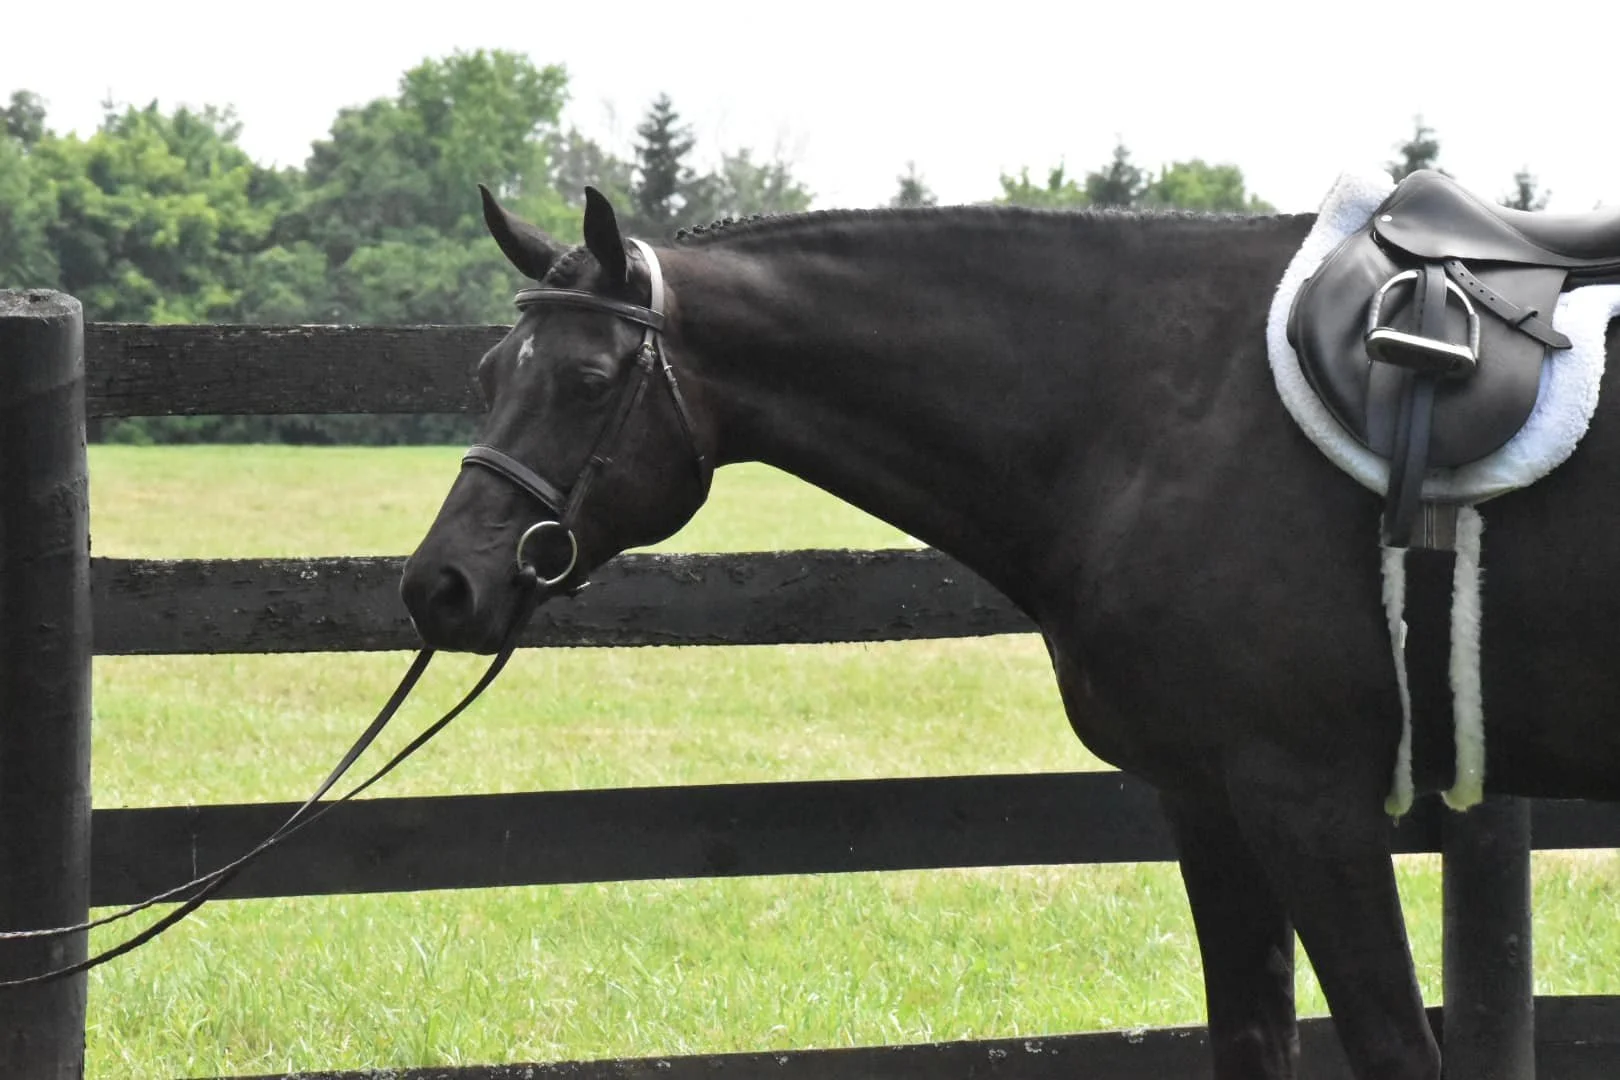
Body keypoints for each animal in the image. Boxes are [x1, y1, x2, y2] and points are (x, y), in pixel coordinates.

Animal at [399, 183, 1620, 1080]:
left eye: (587, 378)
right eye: (488, 374)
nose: (439, 586)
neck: (1165, 406)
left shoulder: (1309, 800)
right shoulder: (1211, 799)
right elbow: (1250, 1036)